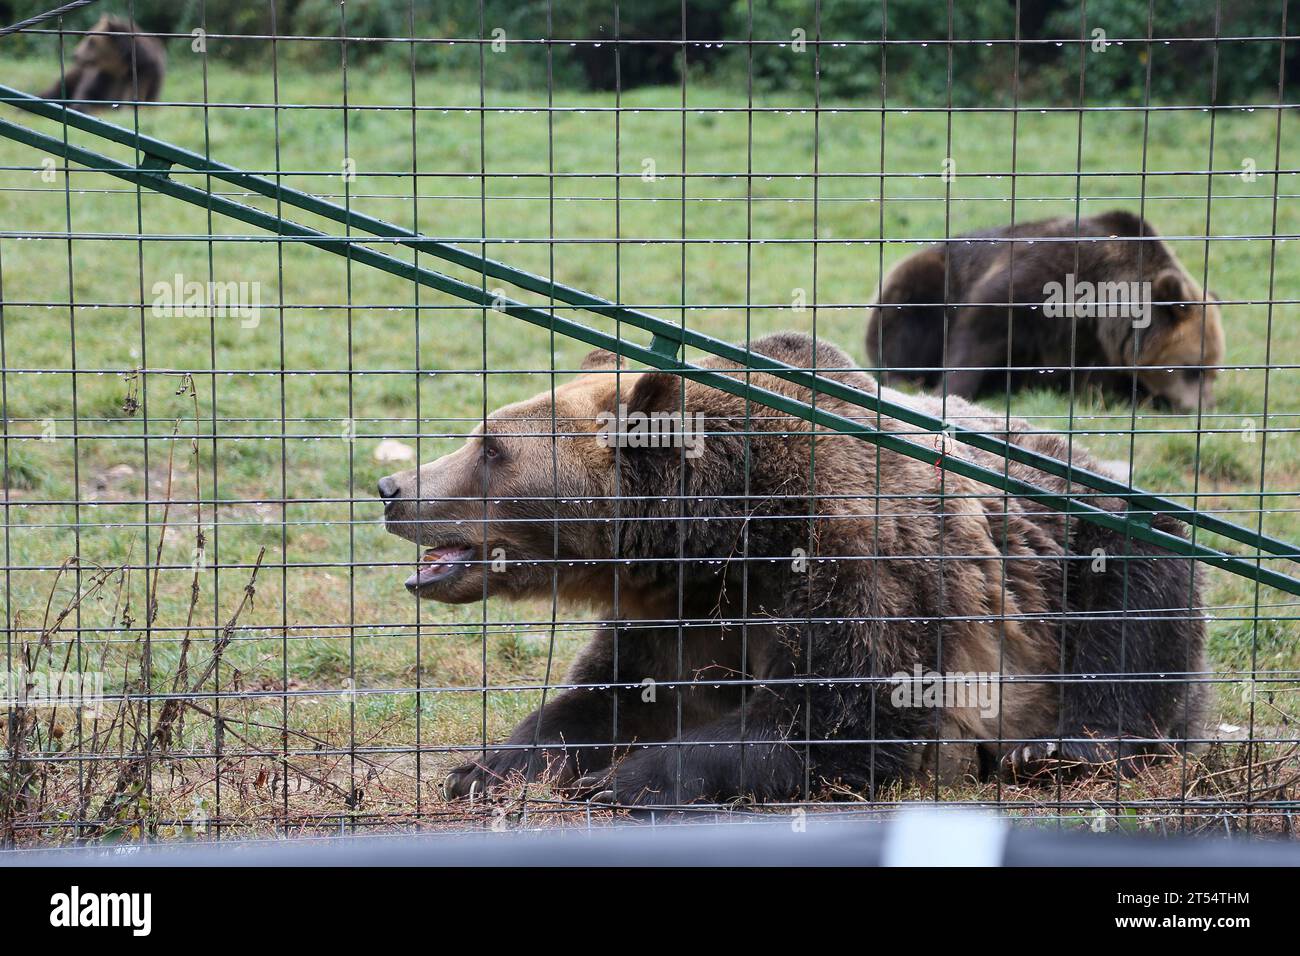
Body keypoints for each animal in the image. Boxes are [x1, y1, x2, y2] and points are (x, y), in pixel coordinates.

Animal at [378, 332, 1207, 807]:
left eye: (490, 449)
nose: (393, 489)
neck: (722, 535)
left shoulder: (853, 565)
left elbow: (839, 714)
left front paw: (621, 779)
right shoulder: (674, 613)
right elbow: (610, 697)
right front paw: (483, 769)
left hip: (1093, 545)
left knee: (1124, 645)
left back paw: (1057, 751)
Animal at [865, 211, 1225, 412]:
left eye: (1213, 370)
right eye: (1193, 369)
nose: (1204, 407)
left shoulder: (1097, 345)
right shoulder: (1044, 277)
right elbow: (982, 330)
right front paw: (951, 390)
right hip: (924, 279)